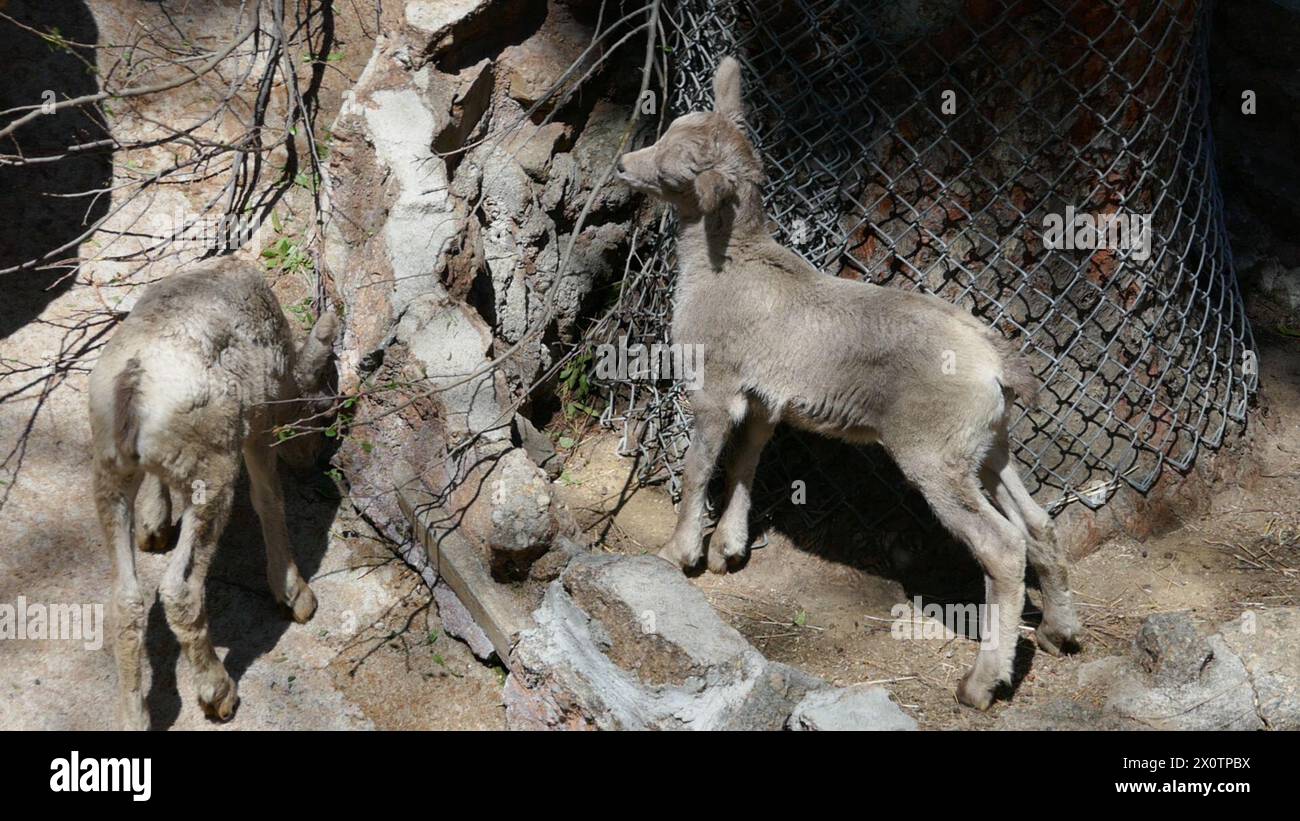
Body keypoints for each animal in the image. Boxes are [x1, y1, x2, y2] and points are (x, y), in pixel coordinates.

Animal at [88, 258, 337, 729]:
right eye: (317, 414)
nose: (314, 458)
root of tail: (132, 386)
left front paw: (153, 528)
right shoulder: (258, 427)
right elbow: (269, 501)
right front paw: (295, 596)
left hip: (109, 478)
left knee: (125, 599)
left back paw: (134, 716)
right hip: (214, 474)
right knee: (180, 589)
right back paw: (218, 694)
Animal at [615, 57, 1082, 709]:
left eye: (670, 169)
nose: (623, 165)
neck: (725, 269)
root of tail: (995, 363)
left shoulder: (715, 389)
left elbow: (699, 468)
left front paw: (679, 554)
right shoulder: (764, 402)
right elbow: (745, 462)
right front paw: (729, 549)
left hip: (933, 456)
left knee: (1003, 548)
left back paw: (981, 683)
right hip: (988, 446)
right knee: (1038, 524)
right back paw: (1062, 631)